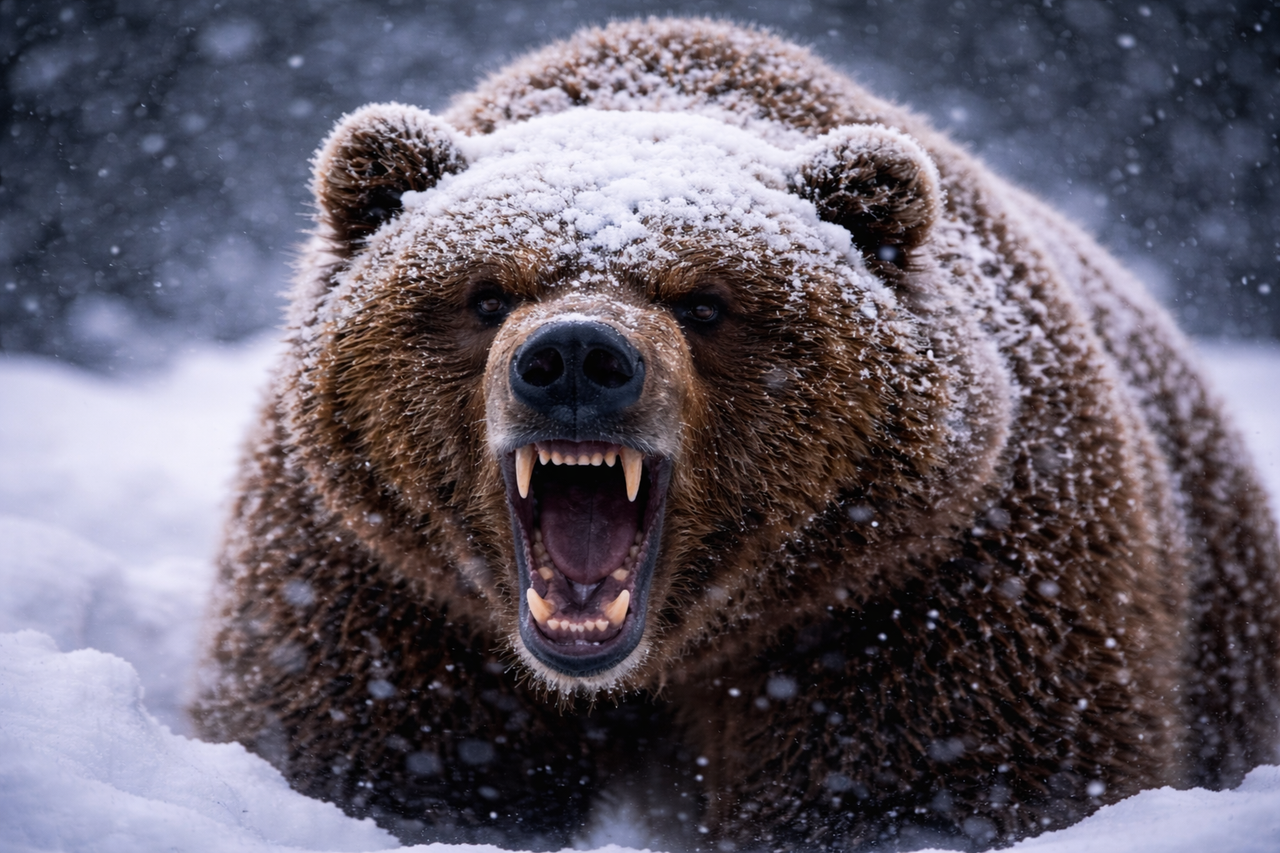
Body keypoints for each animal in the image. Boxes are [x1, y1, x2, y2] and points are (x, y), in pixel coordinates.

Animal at [192, 17, 1280, 852]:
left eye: (704, 302)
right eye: (486, 290)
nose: (576, 359)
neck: (659, 659)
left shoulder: (932, 585)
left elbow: (933, 778)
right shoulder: (378, 581)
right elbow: (383, 752)